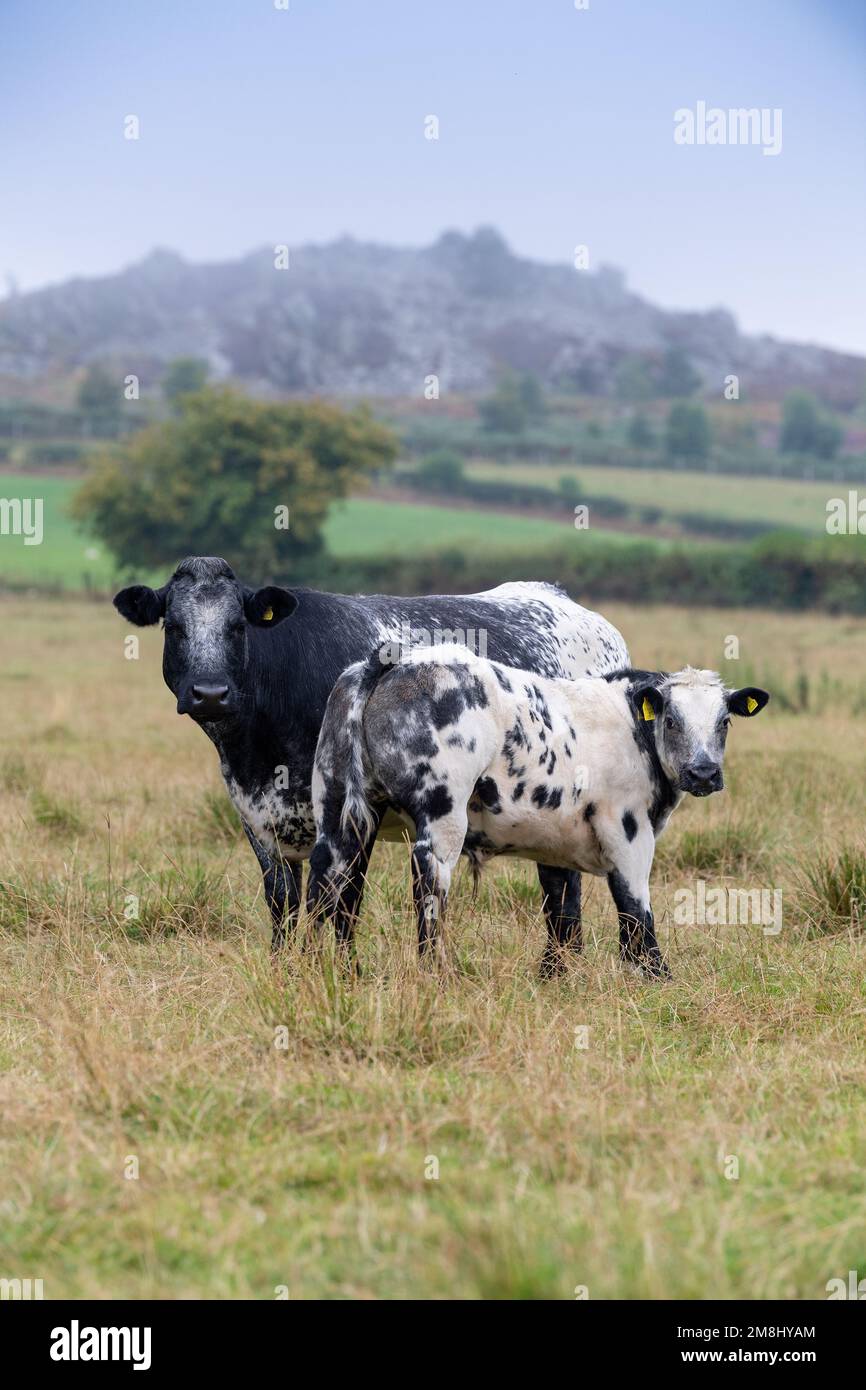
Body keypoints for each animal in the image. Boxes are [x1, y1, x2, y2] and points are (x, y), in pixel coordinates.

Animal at [113, 556, 629, 965]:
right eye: (174, 627)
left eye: (237, 627)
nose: (210, 693)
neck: (257, 752)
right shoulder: (257, 820)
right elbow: (282, 904)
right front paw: (284, 969)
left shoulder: (354, 812)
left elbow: (347, 900)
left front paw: (344, 973)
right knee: (560, 883)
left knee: (561, 888)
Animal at [309, 644, 769, 978]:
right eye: (671, 720)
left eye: (724, 722)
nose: (704, 772)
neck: (632, 727)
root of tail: (391, 660)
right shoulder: (627, 829)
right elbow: (636, 909)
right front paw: (655, 976)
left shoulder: (555, 839)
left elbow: (562, 910)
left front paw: (555, 975)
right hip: (442, 814)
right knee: (428, 879)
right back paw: (435, 970)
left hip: (339, 808)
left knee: (333, 878)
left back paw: (327, 969)